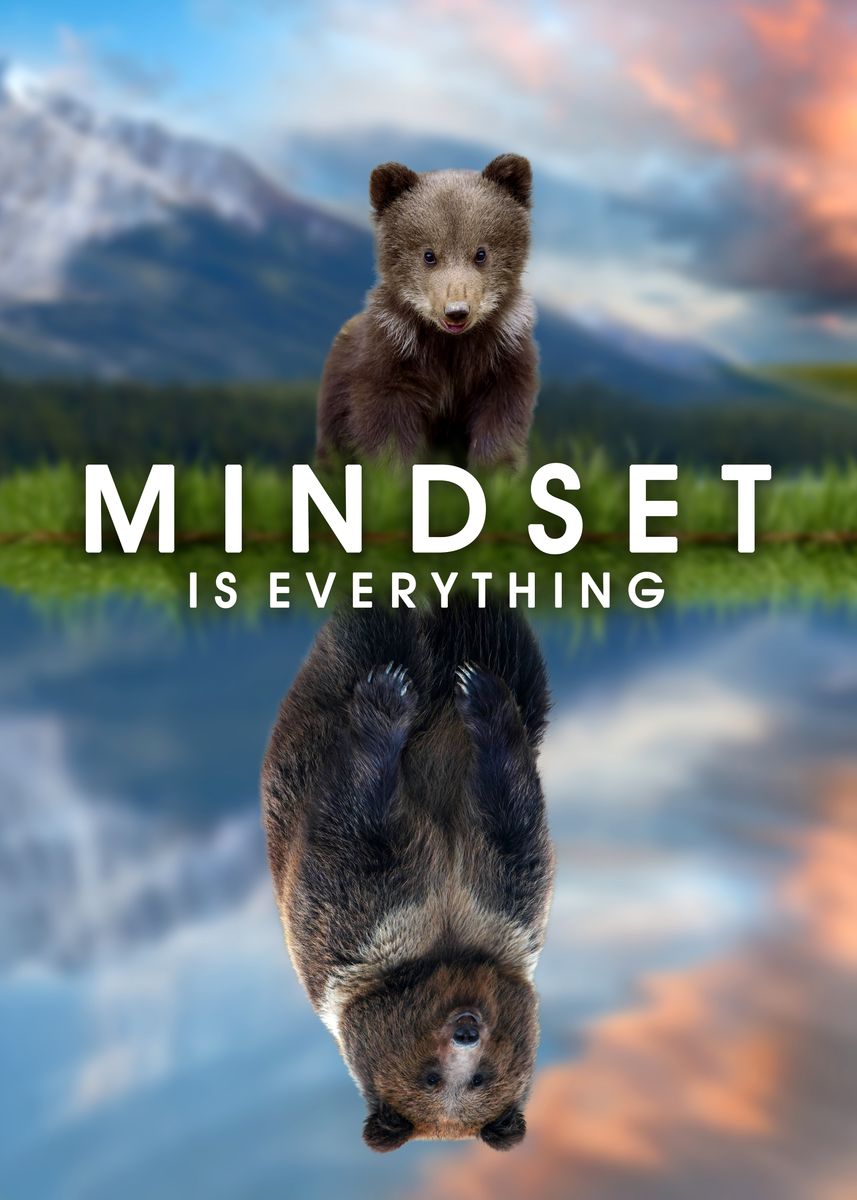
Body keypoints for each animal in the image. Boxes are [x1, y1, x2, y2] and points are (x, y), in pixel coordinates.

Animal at [261, 598, 554, 1150]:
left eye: (480, 1077)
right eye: (430, 1077)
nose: (466, 1028)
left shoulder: (500, 893)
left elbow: (509, 813)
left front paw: (479, 694)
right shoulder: (355, 899)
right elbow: (362, 816)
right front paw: (390, 696)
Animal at [315, 154, 538, 469]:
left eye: (481, 253)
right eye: (429, 255)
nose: (456, 311)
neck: (451, 348)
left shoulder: (503, 358)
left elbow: (501, 424)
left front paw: (495, 470)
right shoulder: (391, 361)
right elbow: (387, 430)